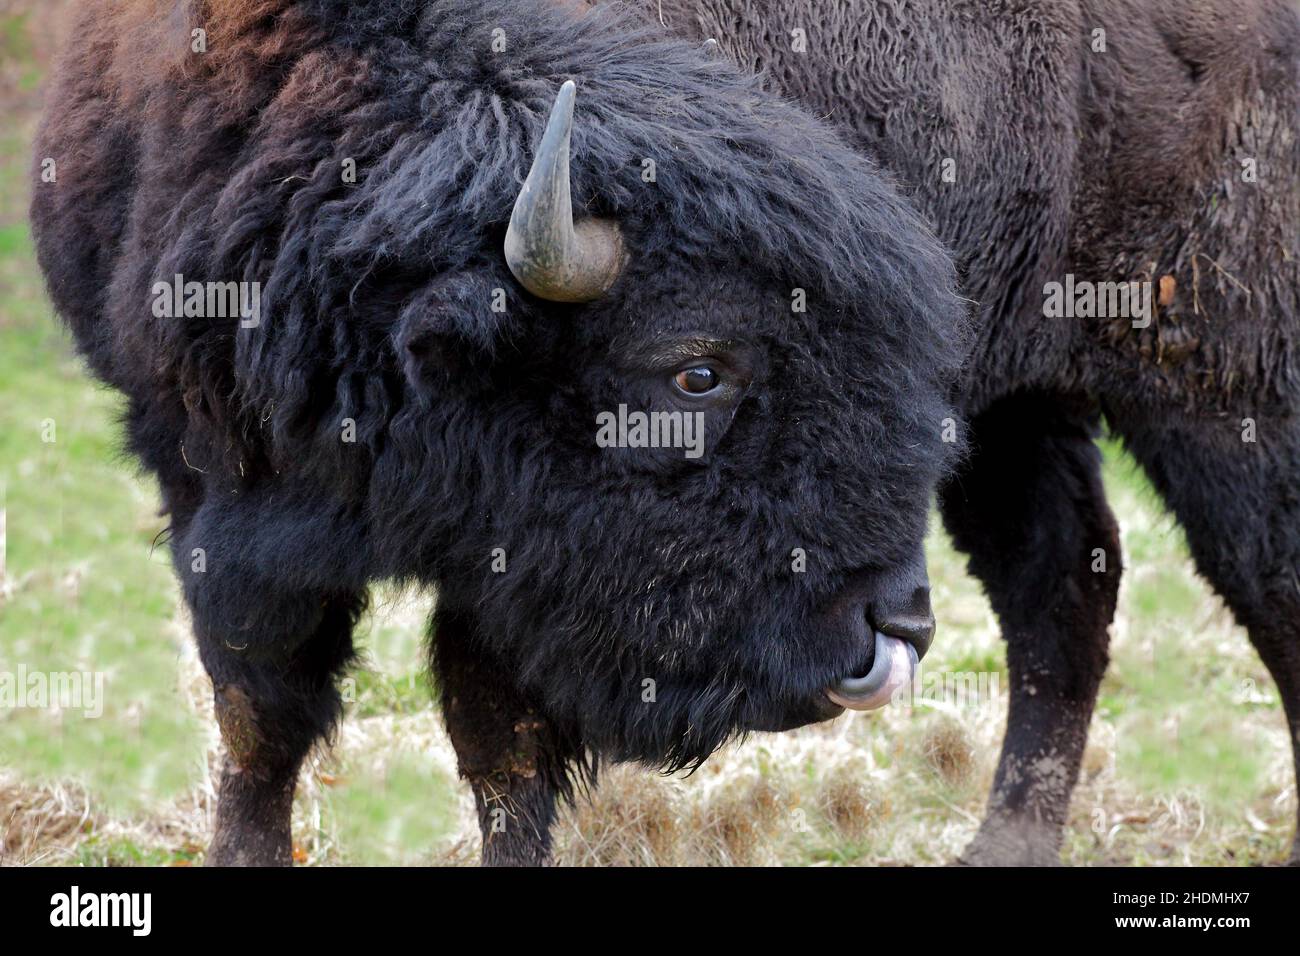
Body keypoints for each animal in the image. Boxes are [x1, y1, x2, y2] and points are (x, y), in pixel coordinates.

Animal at [31, 0, 1300, 867]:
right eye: (696, 370)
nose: (892, 627)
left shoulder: (521, 572)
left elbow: (496, 739)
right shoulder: (210, 482)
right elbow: (262, 713)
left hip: (1212, 385)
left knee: (1259, 587)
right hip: (1012, 407)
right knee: (1062, 587)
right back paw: (999, 846)